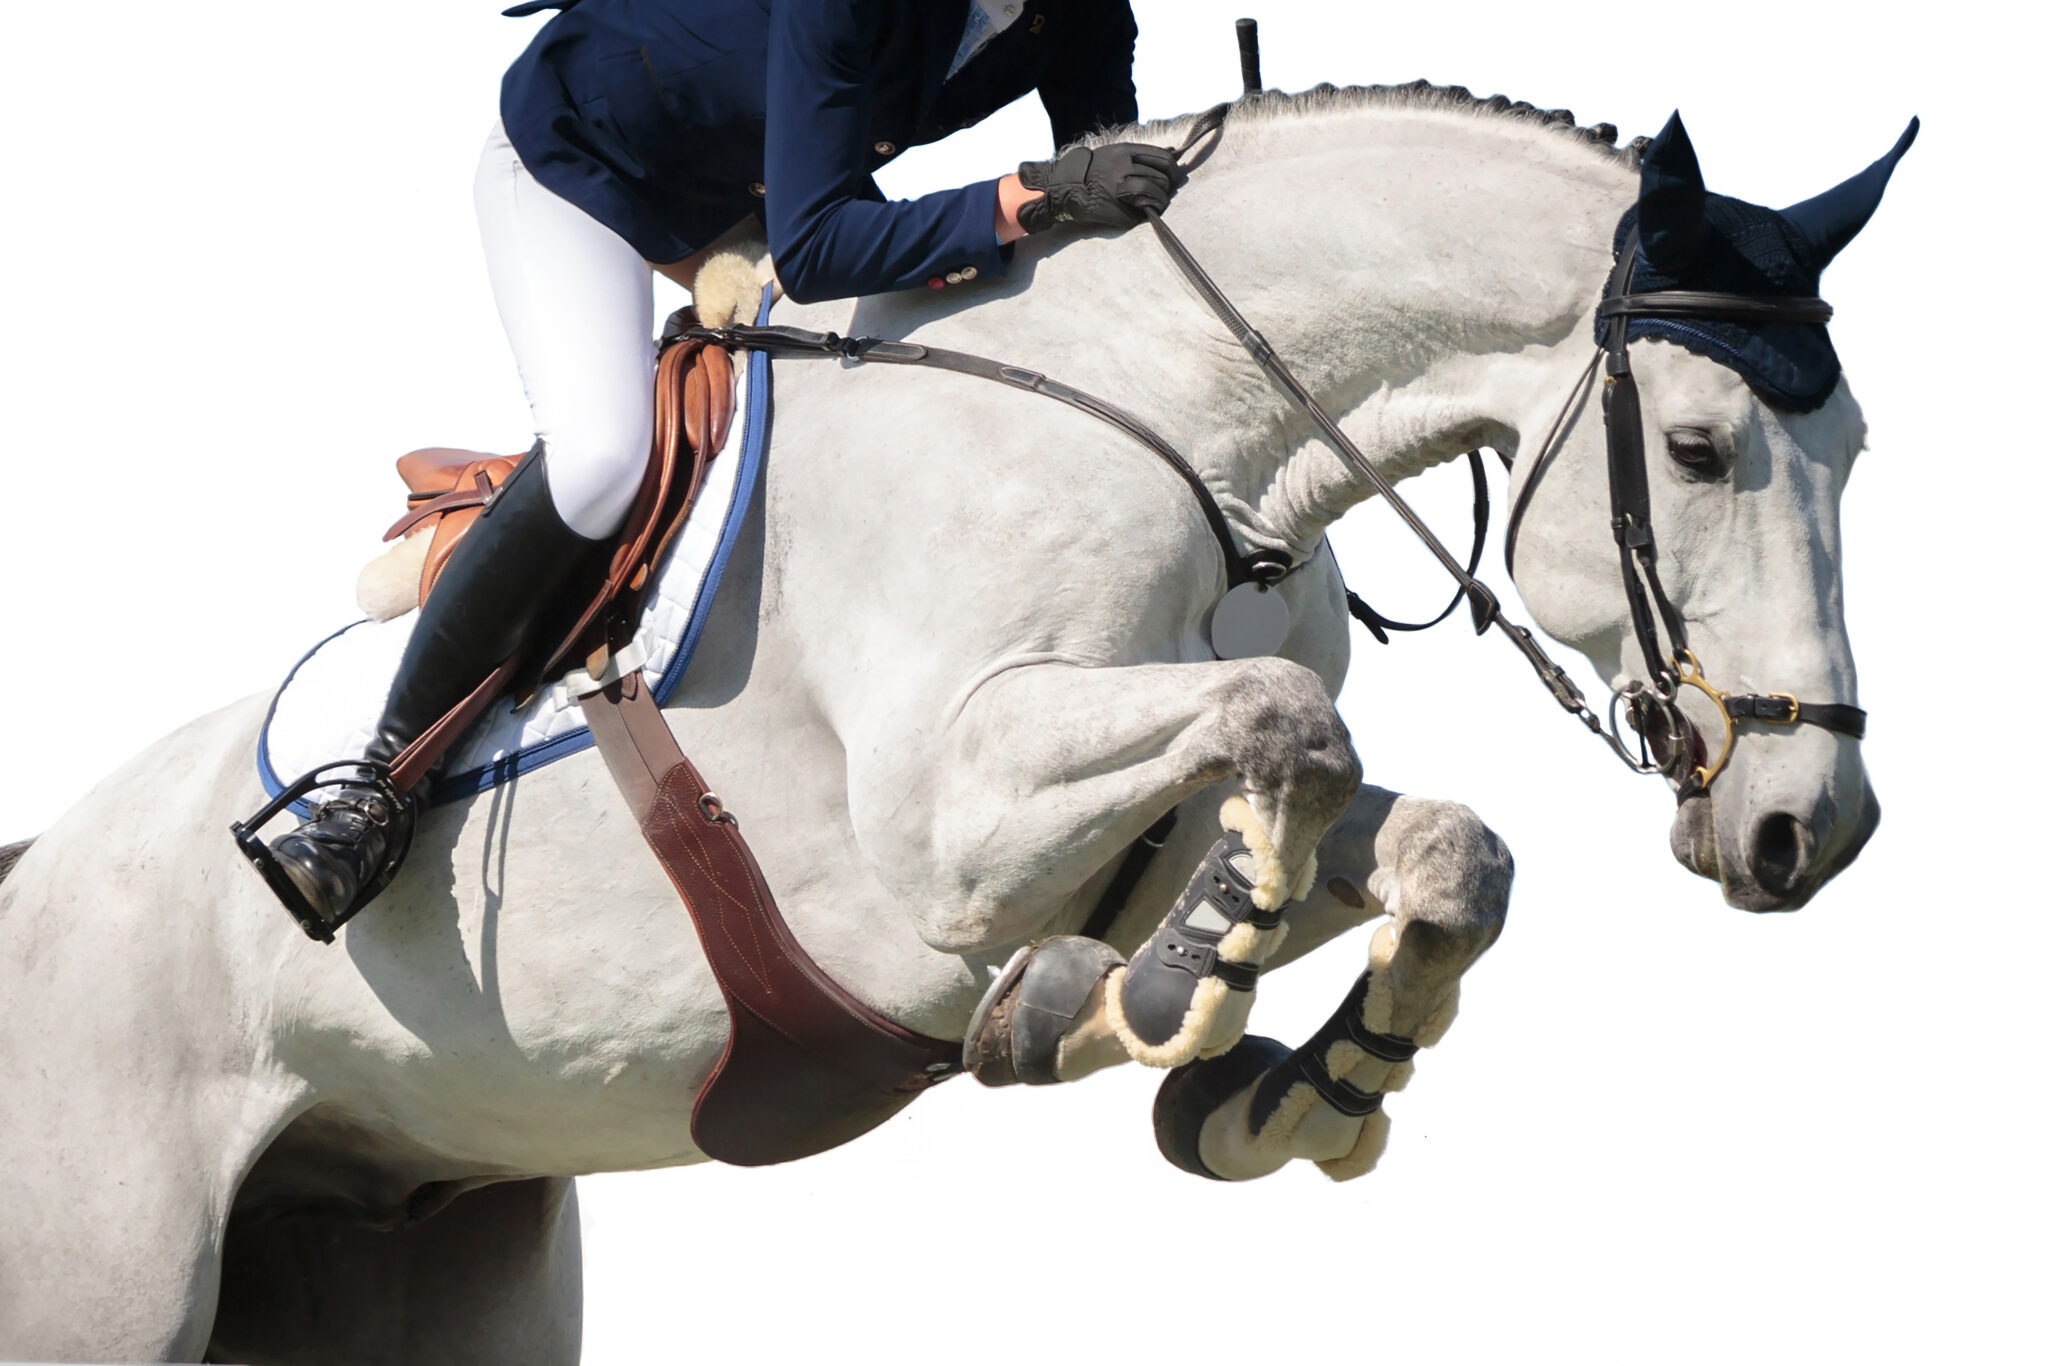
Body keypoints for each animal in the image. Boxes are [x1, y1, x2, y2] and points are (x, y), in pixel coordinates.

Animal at [0, 82, 1902, 1362]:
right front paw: (1155, 991)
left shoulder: (1140, 786)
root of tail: (31, 873)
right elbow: (1286, 720)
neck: (1177, 414)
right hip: (113, 1275)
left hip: (424, 1233)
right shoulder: (942, 832)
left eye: (1858, 450)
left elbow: (1435, 839)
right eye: (1698, 449)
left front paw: (1288, 1080)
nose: (1811, 823)